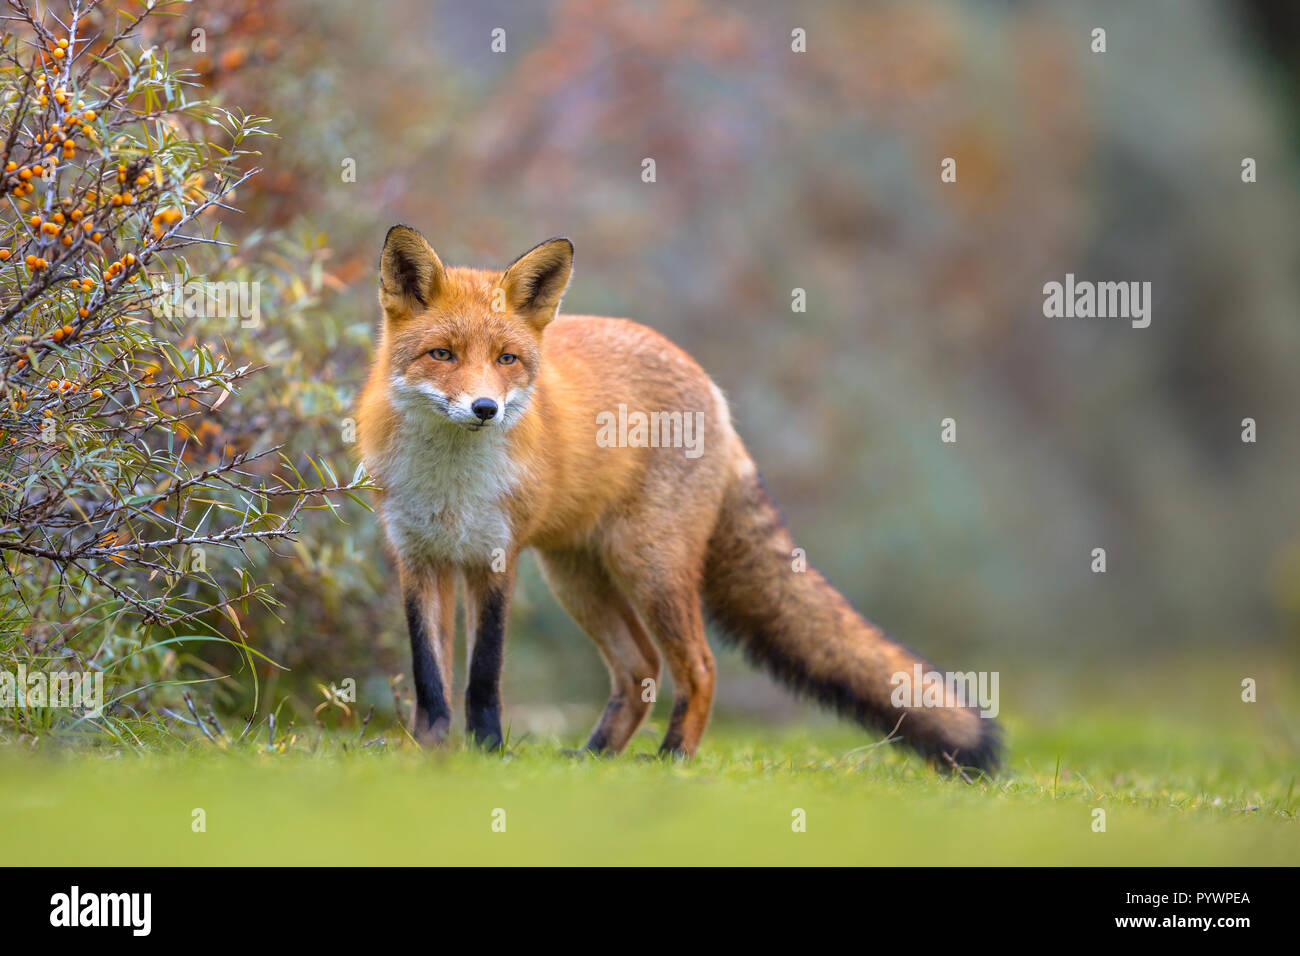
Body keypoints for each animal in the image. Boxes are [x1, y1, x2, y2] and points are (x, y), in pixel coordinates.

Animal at [357, 225, 1001, 773]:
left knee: (698, 666)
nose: (485, 408)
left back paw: (672, 761)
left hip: (650, 565)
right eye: (442, 355)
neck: (449, 485)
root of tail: (707, 383)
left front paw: (488, 754)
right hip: (579, 575)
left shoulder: (496, 557)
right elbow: (430, 675)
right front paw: (430, 754)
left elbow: (484, 674)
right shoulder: (418, 558)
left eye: (506, 360)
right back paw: (595, 757)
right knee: (640, 667)